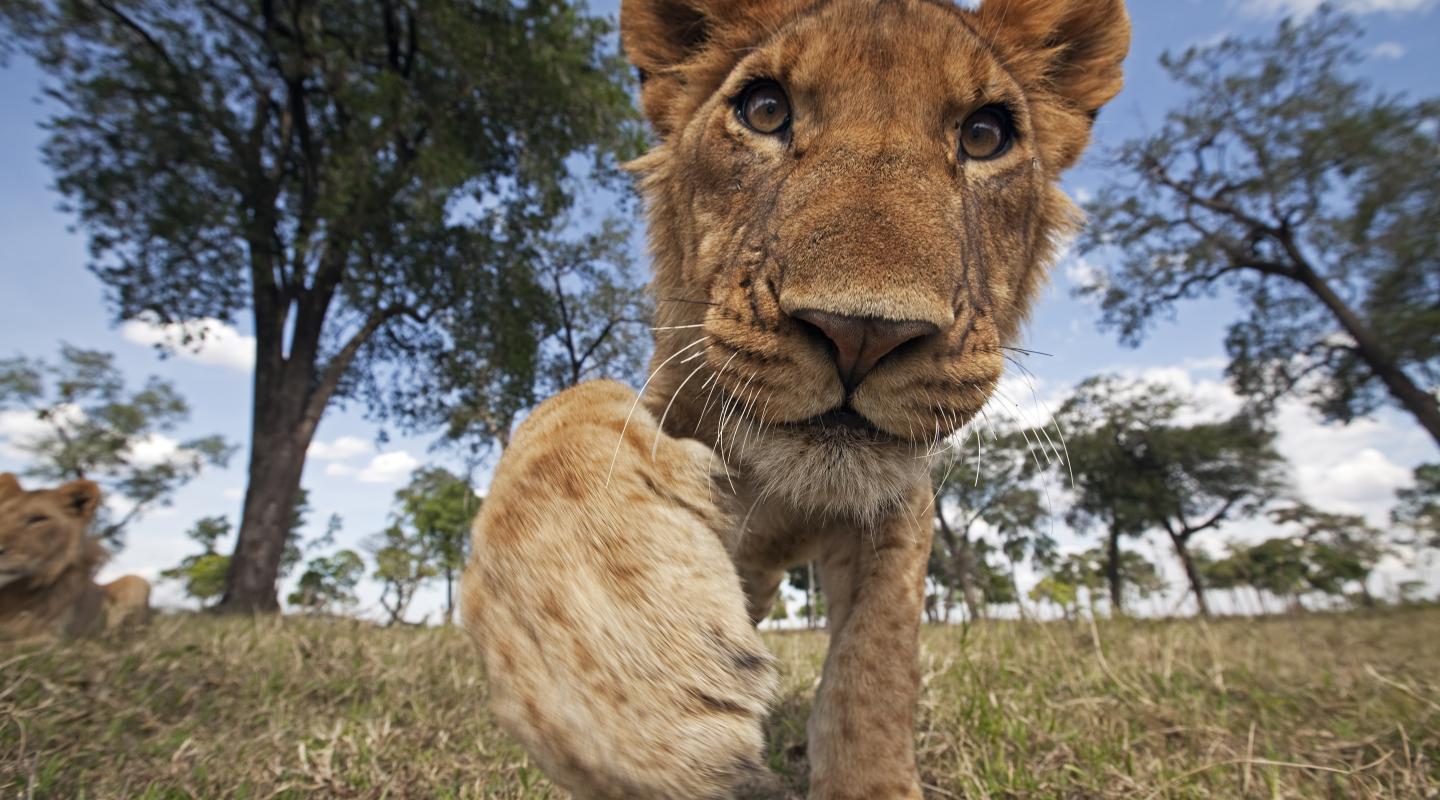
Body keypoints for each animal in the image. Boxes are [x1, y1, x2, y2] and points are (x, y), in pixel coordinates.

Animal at [461, 0, 1130, 797]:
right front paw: (636, 687)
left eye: (984, 134)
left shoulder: (898, 507)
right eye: (766, 110)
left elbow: (876, 662)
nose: (862, 333)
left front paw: (871, 780)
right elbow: (564, 413)